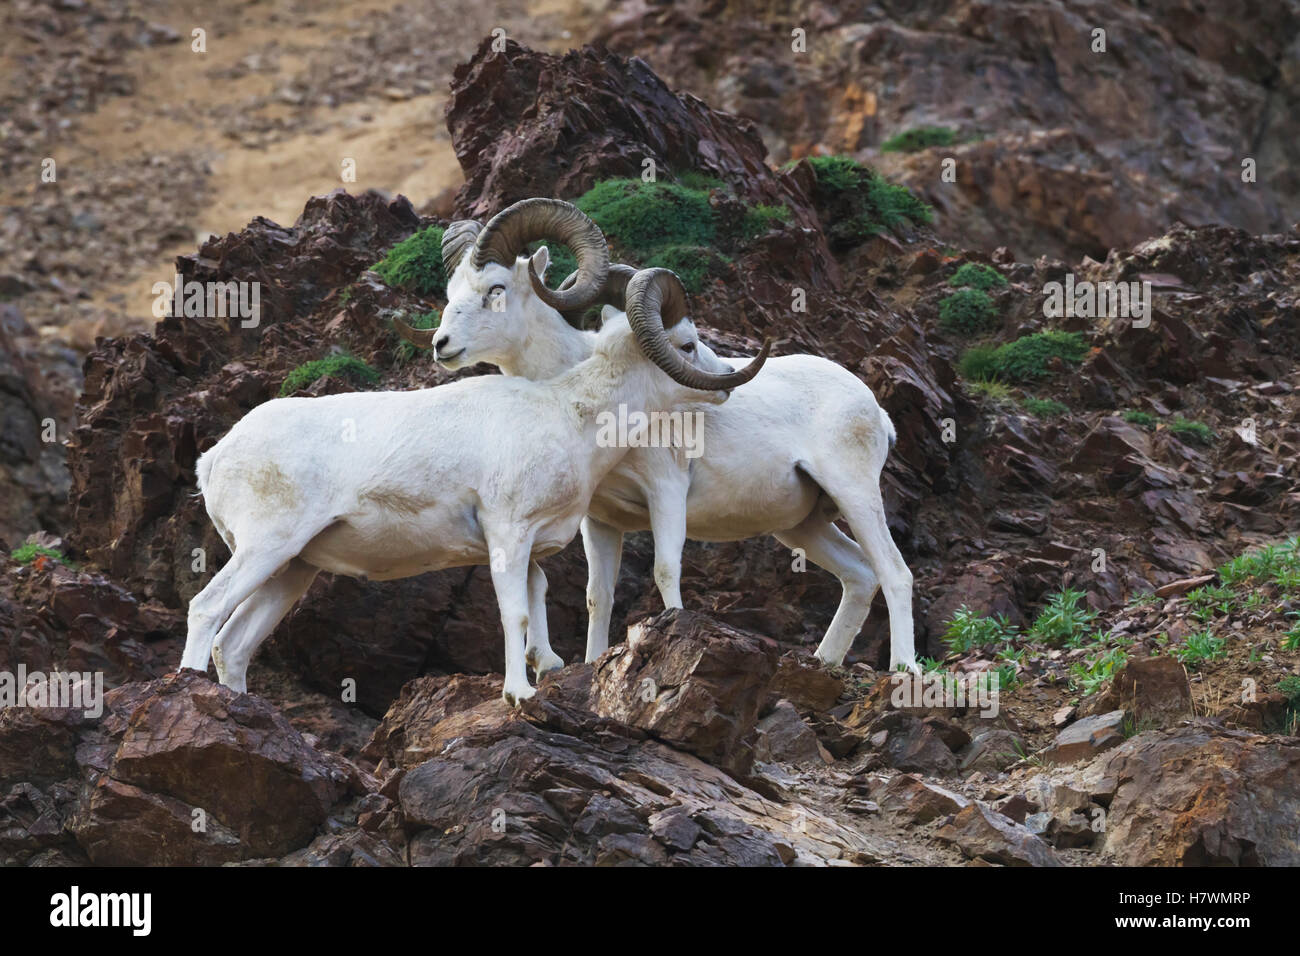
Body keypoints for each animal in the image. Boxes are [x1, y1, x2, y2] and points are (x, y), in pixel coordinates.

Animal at [178, 208, 770, 705]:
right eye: (688, 344)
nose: (726, 381)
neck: (567, 414)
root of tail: (214, 459)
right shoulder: (506, 535)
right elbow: (515, 615)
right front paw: (520, 695)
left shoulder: (530, 548)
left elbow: (536, 601)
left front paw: (544, 671)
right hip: (266, 547)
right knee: (205, 610)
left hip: (291, 569)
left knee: (233, 645)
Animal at [400, 198, 919, 675]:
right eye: (451, 292)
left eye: (496, 289)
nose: (442, 345)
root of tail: (875, 410)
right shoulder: (600, 521)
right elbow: (598, 595)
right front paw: (593, 662)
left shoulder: (666, 492)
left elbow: (666, 570)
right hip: (803, 524)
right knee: (860, 576)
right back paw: (824, 662)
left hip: (853, 493)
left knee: (894, 573)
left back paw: (904, 670)